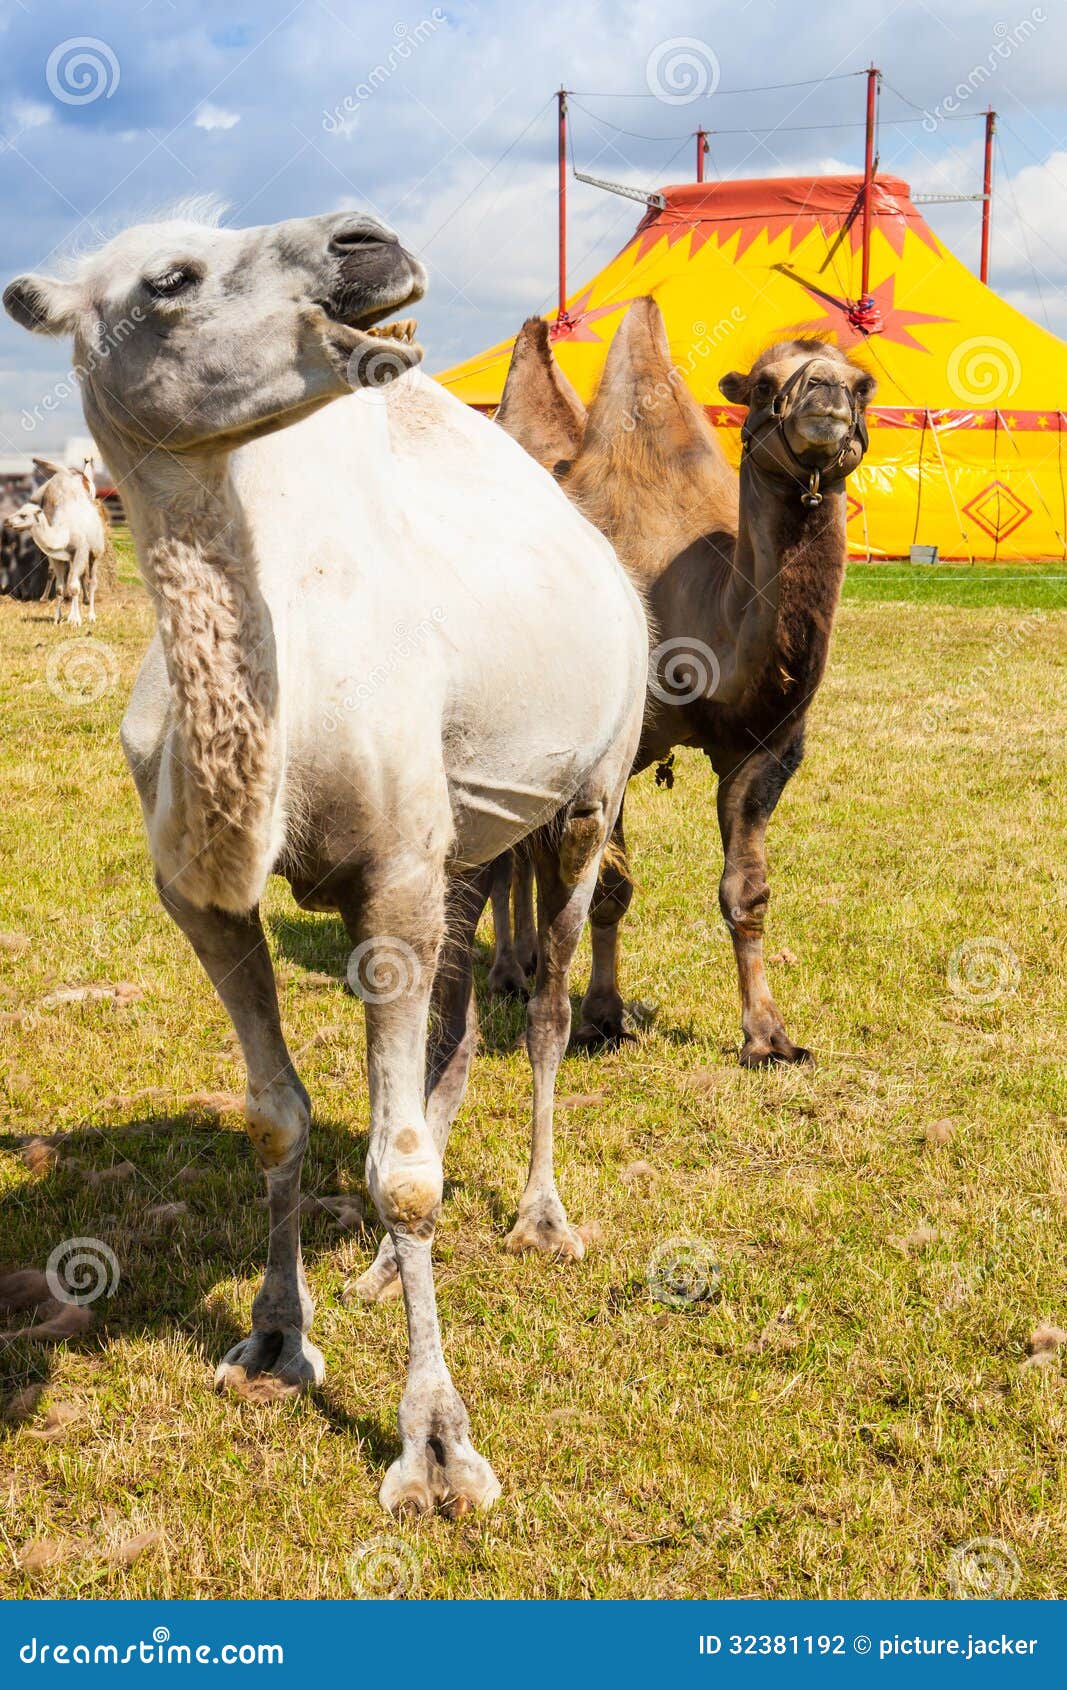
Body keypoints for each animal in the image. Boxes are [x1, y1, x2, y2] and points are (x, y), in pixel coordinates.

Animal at [7, 458, 110, 624]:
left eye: (24, 515)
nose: (7, 521)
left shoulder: (79, 552)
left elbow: (74, 586)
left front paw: (75, 619)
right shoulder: (56, 557)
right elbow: (61, 587)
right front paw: (58, 617)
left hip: (96, 552)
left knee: (92, 581)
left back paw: (91, 615)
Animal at [491, 304, 874, 1066]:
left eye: (862, 385)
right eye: (763, 385)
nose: (825, 399)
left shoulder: (764, 748)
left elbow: (746, 892)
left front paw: (768, 1037)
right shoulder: (618, 744)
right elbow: (609, 887)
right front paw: (600, 1019)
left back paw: (524, 968)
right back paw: (503, 973)